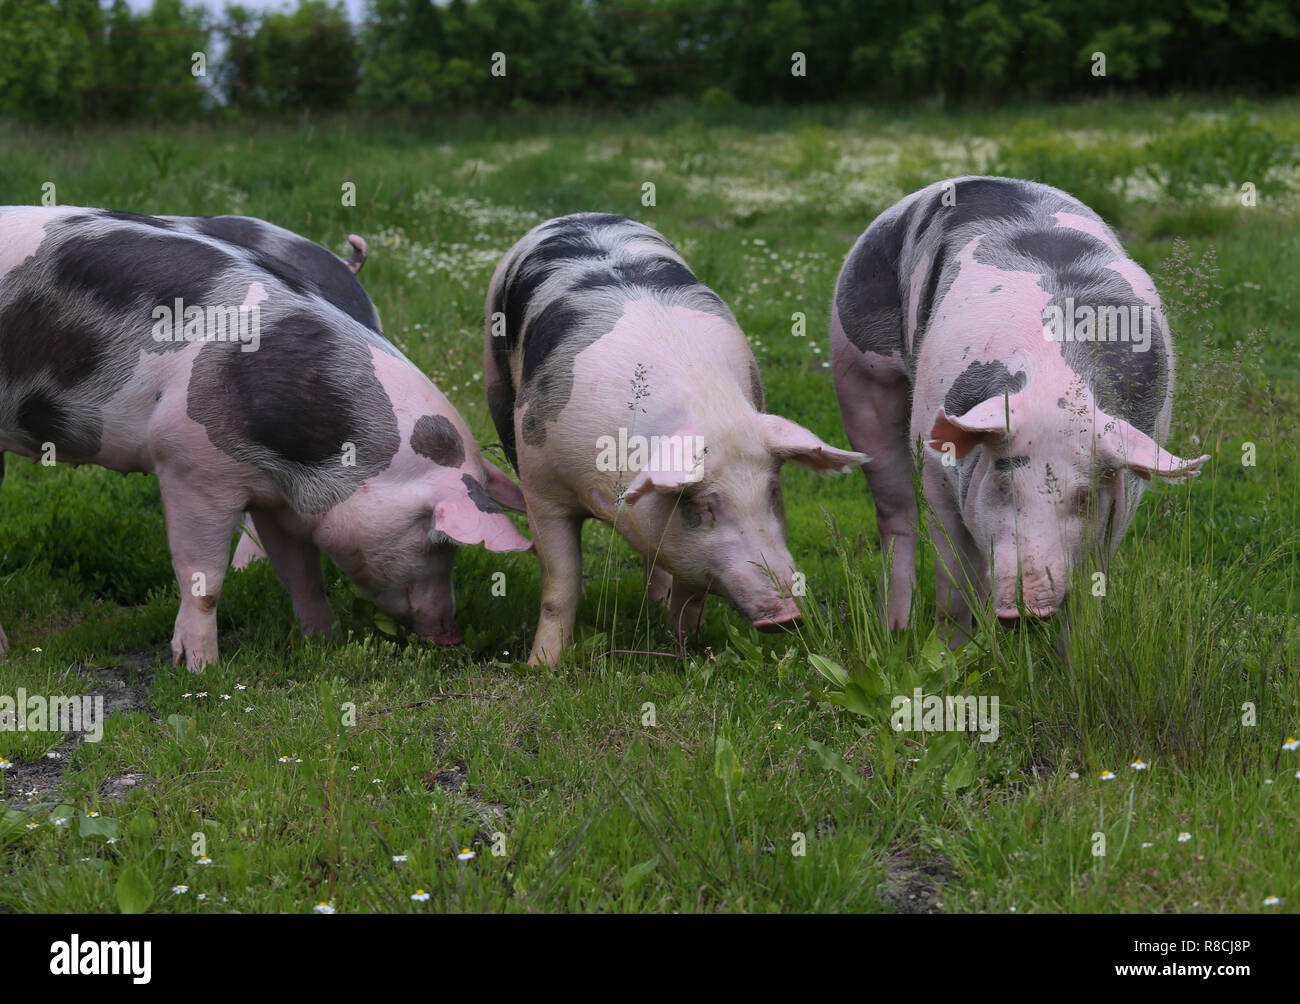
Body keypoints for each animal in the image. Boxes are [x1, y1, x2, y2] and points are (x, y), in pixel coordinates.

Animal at [0, 206, 530, 669]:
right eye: (440, 545)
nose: (451, 636)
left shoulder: (279, 499)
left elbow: (302, 575)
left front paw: (323, 643)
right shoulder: (189, 464)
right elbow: (203, 578)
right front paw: (200, 669)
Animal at [485, 212, 867, 666]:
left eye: (773, 493)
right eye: (701, 506)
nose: (787, 616)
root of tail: (579, 216)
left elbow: (690, 592)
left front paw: (684, 651)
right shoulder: (542, 487)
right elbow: (560, 584)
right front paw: (541, 667)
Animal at [830, 177, 1209, 643]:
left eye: (1083, 497)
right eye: (1002, 482)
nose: (1027, 609)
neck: (1051, 385)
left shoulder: (1123, 494)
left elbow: (1088, 591)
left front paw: (1079, 651)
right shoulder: (935, 465)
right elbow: (953, 576)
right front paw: (948, 650)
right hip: (858, 369)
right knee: (896, 512)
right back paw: (896, 630)